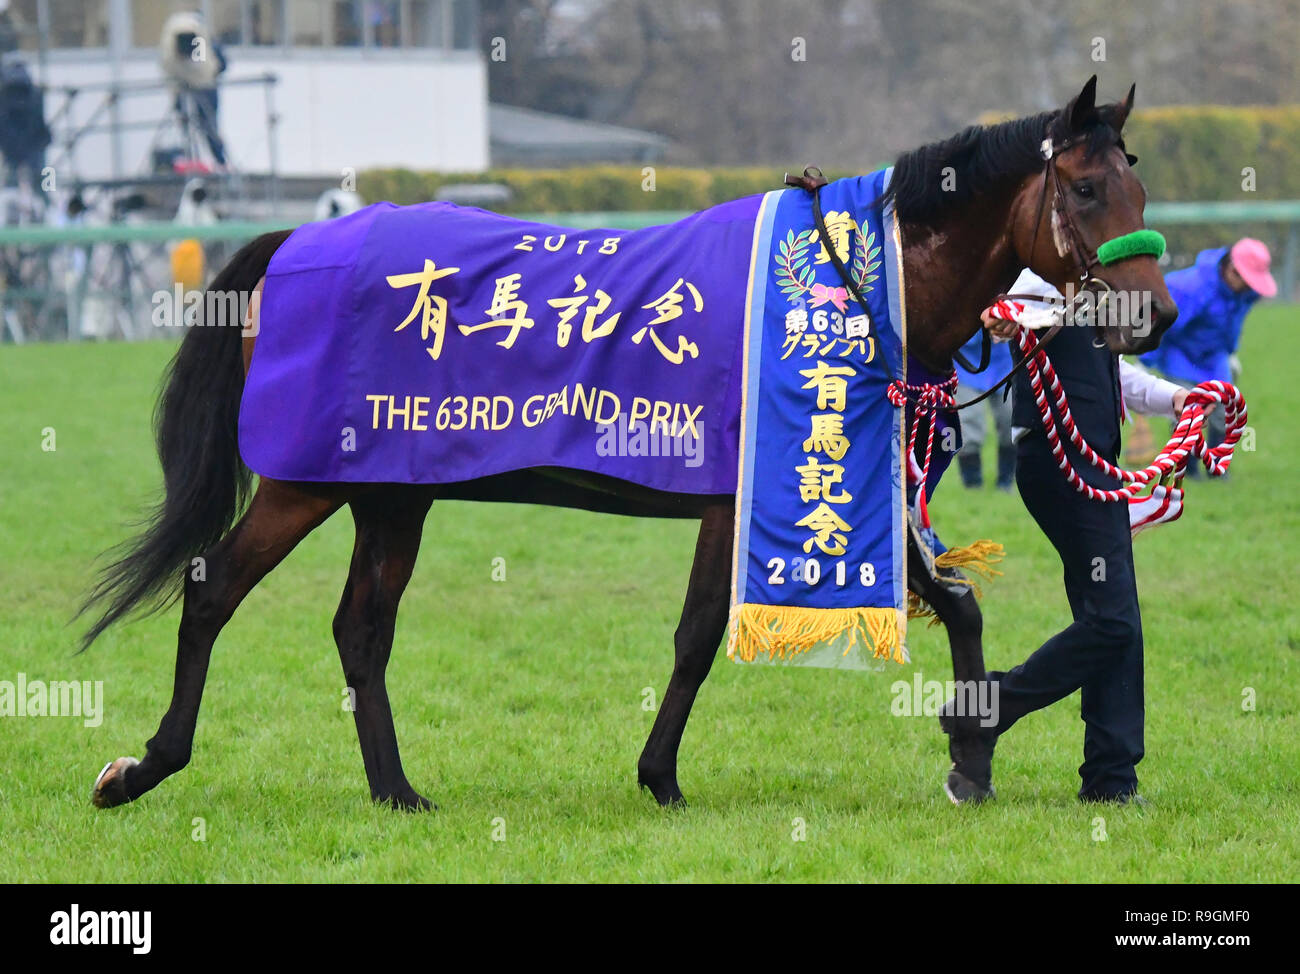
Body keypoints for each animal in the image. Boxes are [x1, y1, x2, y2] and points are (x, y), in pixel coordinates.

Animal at [82, 77, 1176, 812]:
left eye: (1138, 188)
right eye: (1084, 191)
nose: (1156, 313)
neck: (845, 284)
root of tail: (295, 246)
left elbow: (958, 604)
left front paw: (970, 754)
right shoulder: (742, 497)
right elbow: (697, 637)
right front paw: (661, 777)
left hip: (392, 490)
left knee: (361, 629)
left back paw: (397, 789)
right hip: (304, 480)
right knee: (211, 591)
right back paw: (144, 766)